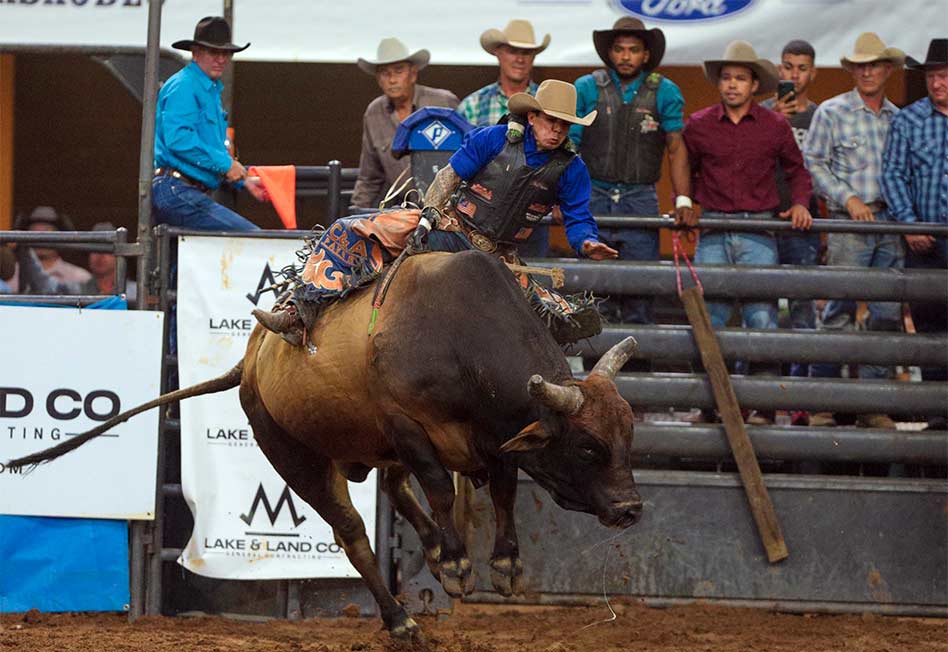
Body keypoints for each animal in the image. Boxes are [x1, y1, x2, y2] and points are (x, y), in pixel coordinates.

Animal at [8, 250, 642, 641]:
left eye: (626, 438)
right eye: (587, 447)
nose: (632, 508)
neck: (457, 334)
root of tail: (249, 362)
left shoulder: (493, 436)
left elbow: (505, 489)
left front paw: (503, 565)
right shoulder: (407, 426)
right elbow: (440, 486)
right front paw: (459, 565)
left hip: (365, 446)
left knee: (394, 489)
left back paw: (430, 555)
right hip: (299, 458)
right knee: (355, 534)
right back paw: (401, 619)